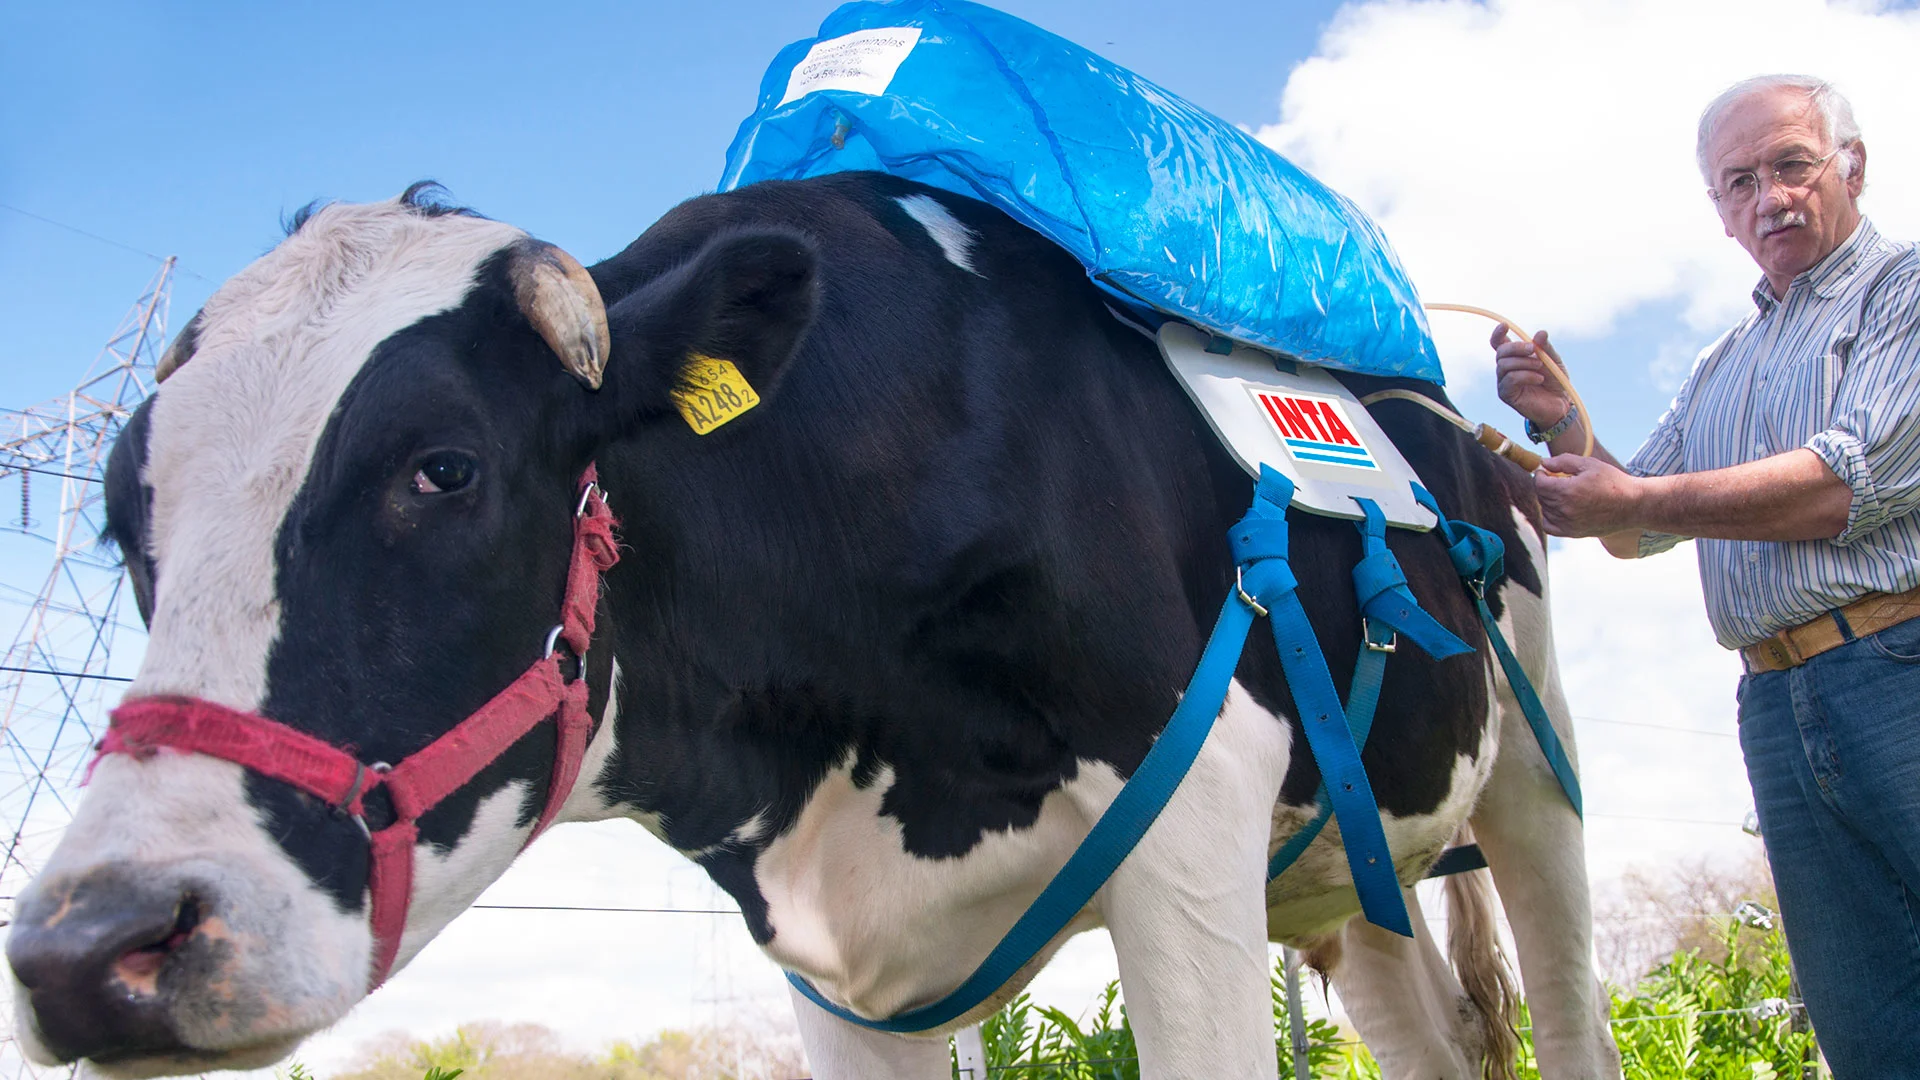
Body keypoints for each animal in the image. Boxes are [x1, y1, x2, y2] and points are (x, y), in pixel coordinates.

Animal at [6, 174, 1619, 1079]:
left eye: (443, 468)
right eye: (123, 526)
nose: (91, 947)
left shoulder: (1192, 841)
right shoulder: (832, 959)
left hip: (1536, 785)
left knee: (1569, 1019)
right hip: (1346, 880)